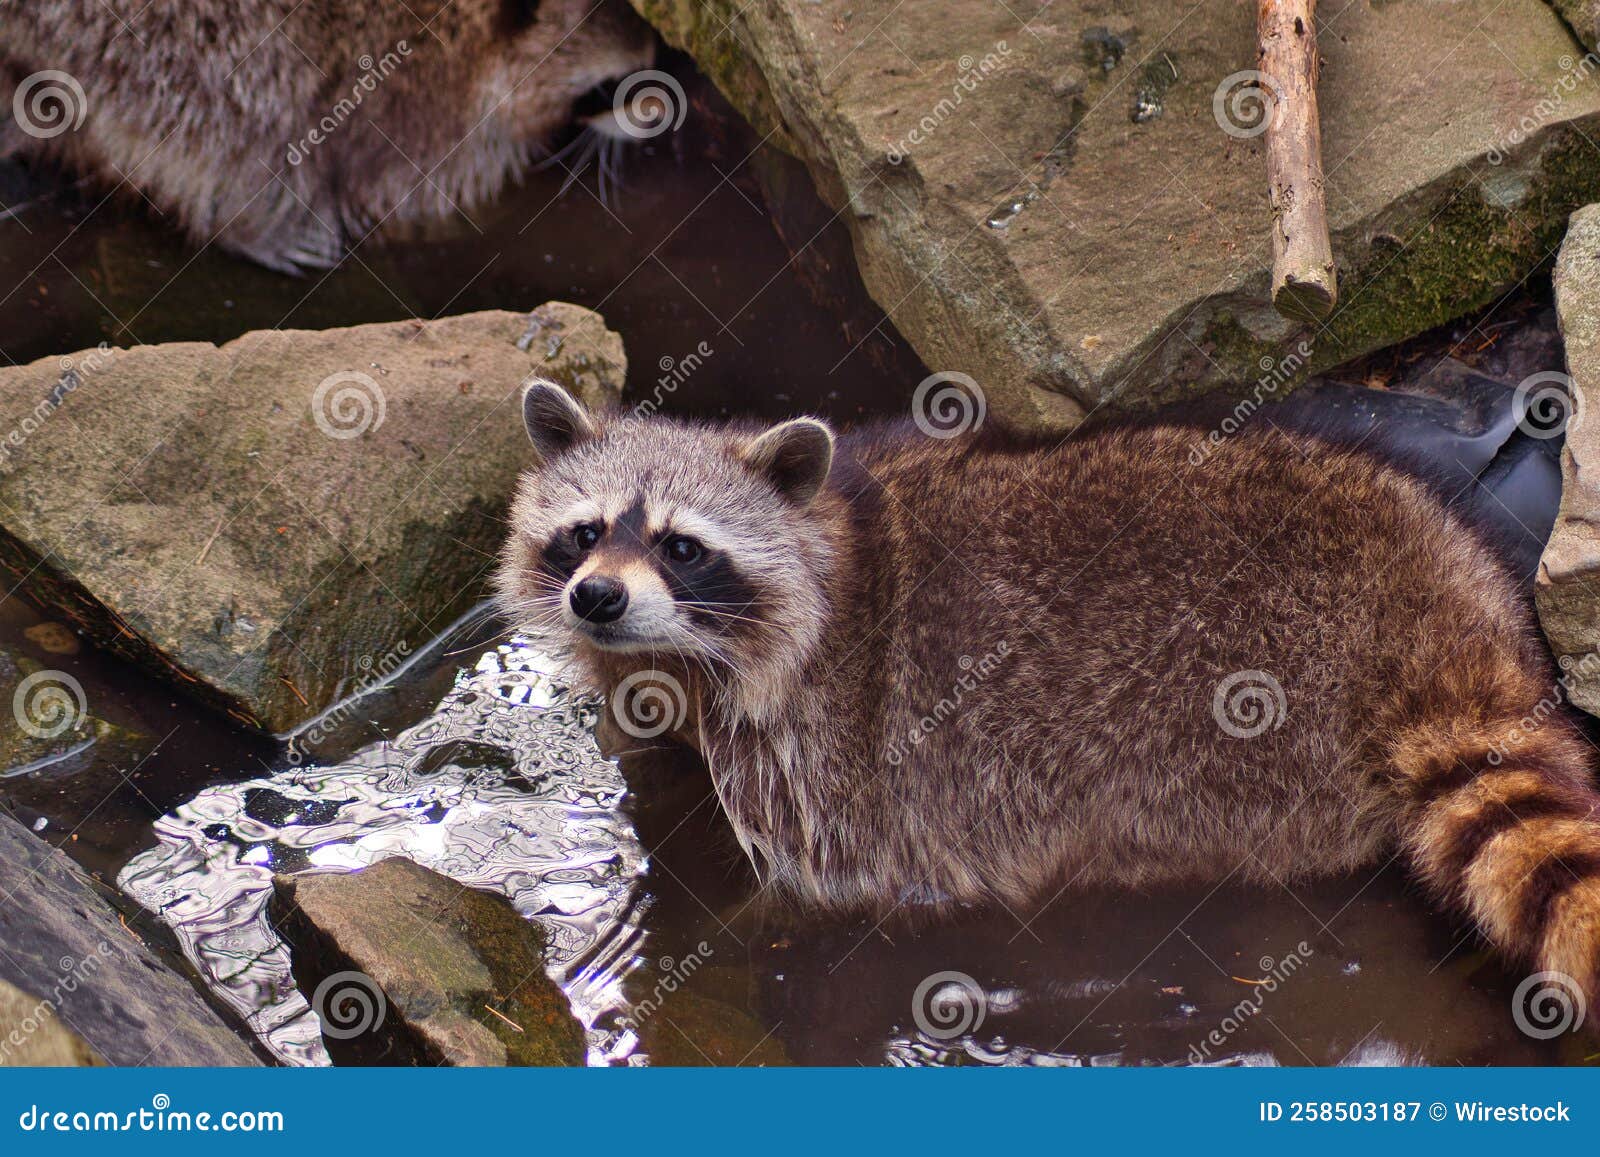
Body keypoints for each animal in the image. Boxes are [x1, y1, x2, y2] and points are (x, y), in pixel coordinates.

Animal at [0, 0, 654, 271]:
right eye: (609, 87)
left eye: (656, 53)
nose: (661, 117)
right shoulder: (405, 96)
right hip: (133, 33)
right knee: (236, 105)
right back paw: (247, 221)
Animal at [497, 379, 1600, 1020]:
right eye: (584, 532)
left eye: (682, 547)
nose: (596, 596)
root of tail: (1432, 619)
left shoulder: (820, 752)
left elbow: (816, 889)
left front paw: (719, 925)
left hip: (1230, 740)